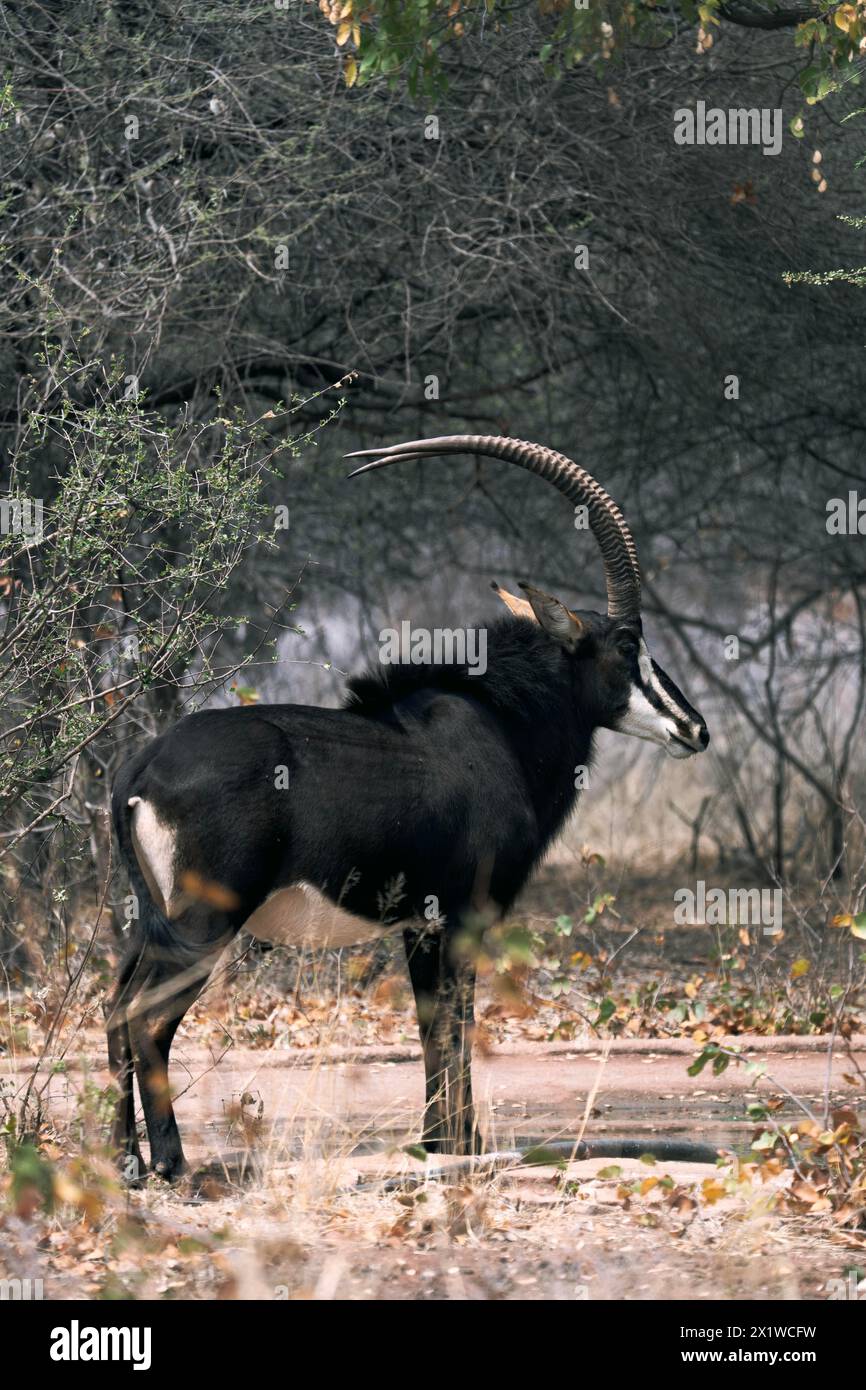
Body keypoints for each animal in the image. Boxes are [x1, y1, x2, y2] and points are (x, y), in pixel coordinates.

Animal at [108, 435, 709, 1178]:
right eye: (628, 647)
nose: (694, 729)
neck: (501, 722)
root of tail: (141, 768)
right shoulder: (458, 917)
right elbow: (455, 1022)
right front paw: (460, 1147)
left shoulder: (419, 925)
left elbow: (429, 1024)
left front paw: (437, 1145)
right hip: (204, 921)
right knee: (147, 1018)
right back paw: (170, 1163)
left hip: (153, 918)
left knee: (115, 1008)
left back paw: (125, 1160)